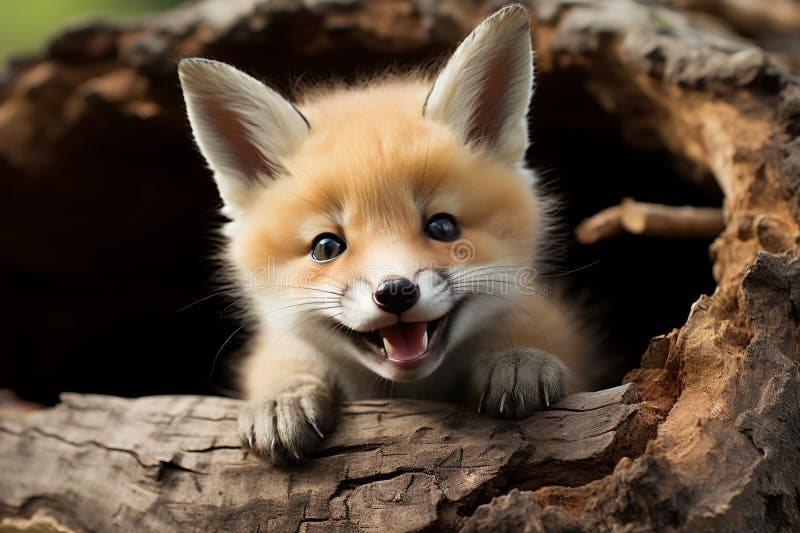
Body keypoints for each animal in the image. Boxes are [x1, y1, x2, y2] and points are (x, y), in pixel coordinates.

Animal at [178, 4, 592, 463]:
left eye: (442, 227)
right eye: (326, 247)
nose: (395, 292)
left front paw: (518, 359)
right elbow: (287, 362)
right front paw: (284, 397)